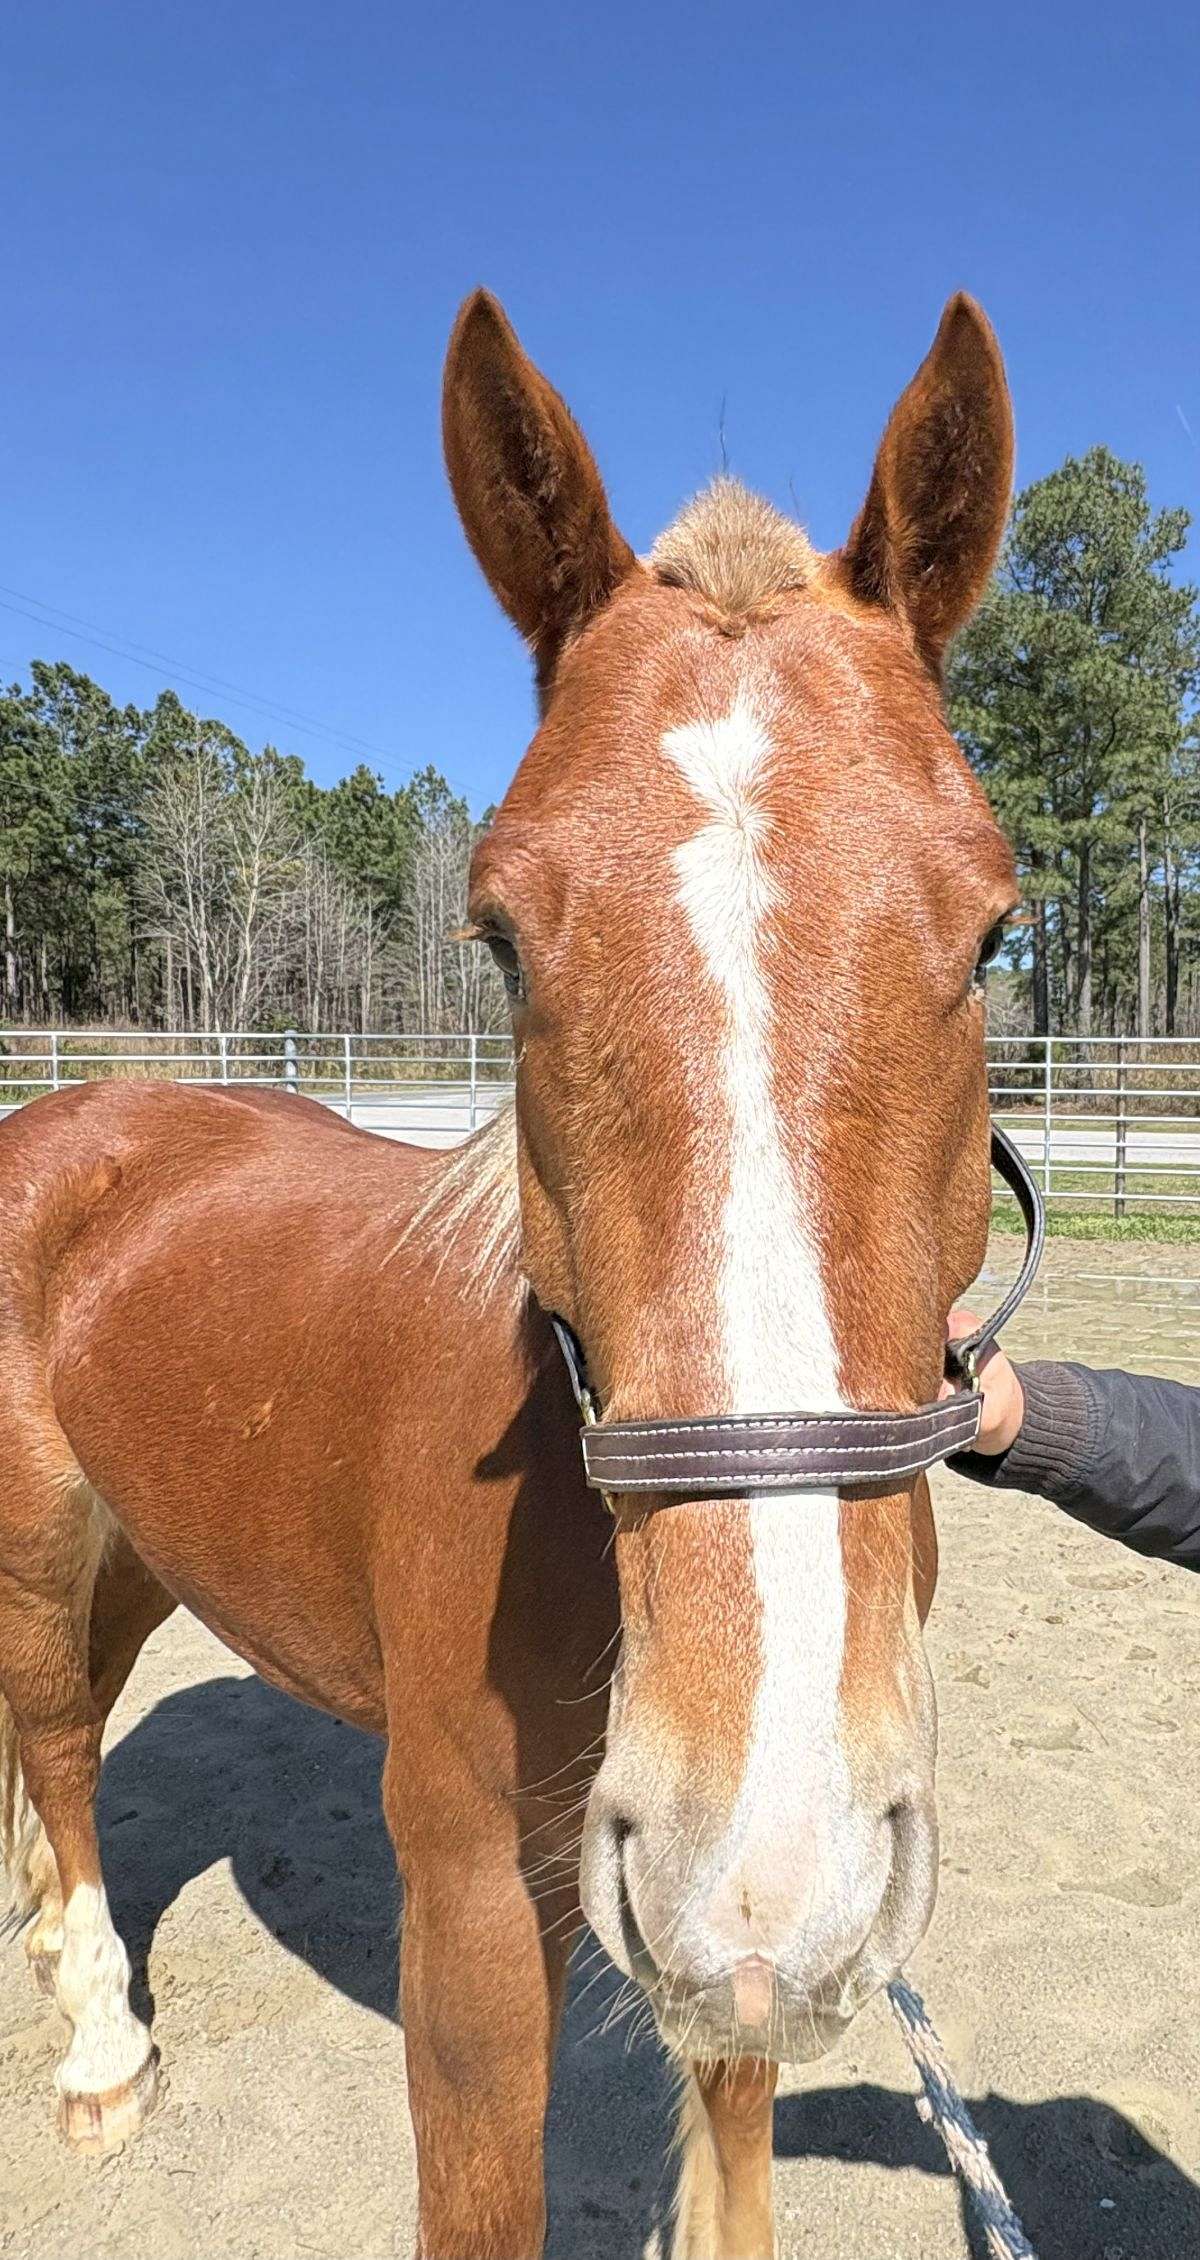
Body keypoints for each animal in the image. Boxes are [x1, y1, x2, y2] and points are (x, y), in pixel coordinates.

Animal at [0, 286, 1016, 2258]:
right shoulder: (478, 1913)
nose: (760, 1843)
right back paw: (93, 2040)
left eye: (996, 930)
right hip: (28, 1535)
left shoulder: (740, 1952)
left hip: (146, 1547)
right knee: (61, 1736)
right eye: (499, 938)